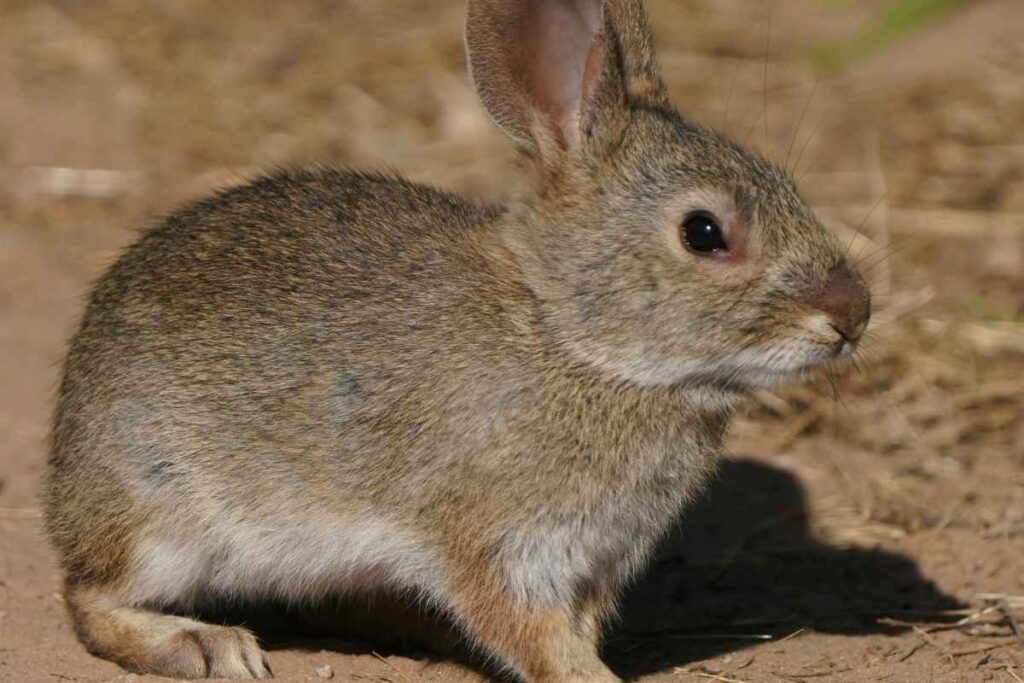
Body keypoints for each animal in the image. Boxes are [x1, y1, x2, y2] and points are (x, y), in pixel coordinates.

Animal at [44, 0, 871, 681]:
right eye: (703, 232)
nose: (854, 312)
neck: (572, 336)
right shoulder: (502, 547)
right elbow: (542, 642)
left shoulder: (590, 563)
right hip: (162, 514)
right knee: (90, 599)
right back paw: (206, 645)